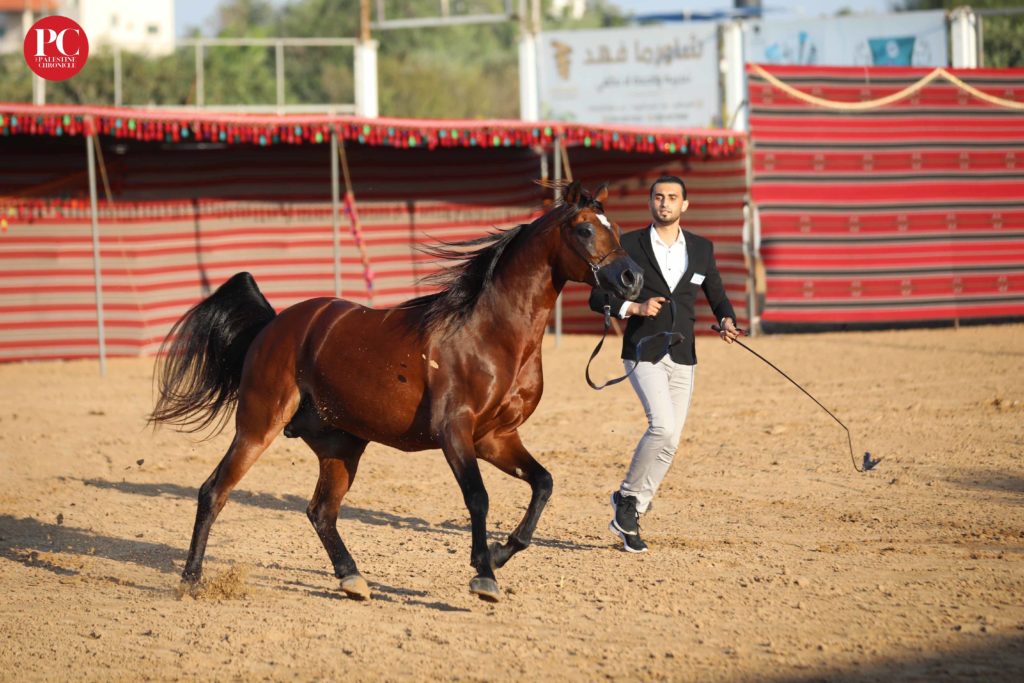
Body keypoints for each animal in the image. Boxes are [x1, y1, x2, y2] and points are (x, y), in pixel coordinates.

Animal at [150, 181, 644, 602]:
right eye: (585, 229)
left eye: (618, 230)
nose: (632, 279)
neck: (492, 335)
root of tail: (273, 325)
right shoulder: (455, 433)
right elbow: (478, 498)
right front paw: (484, 573)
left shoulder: (496, 438)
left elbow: (543, 484)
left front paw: (500, 553)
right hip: (258, 426)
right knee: (214, 491)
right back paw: (191, 579)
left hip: (341, 445)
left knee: (321, 511)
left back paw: (351, 578)